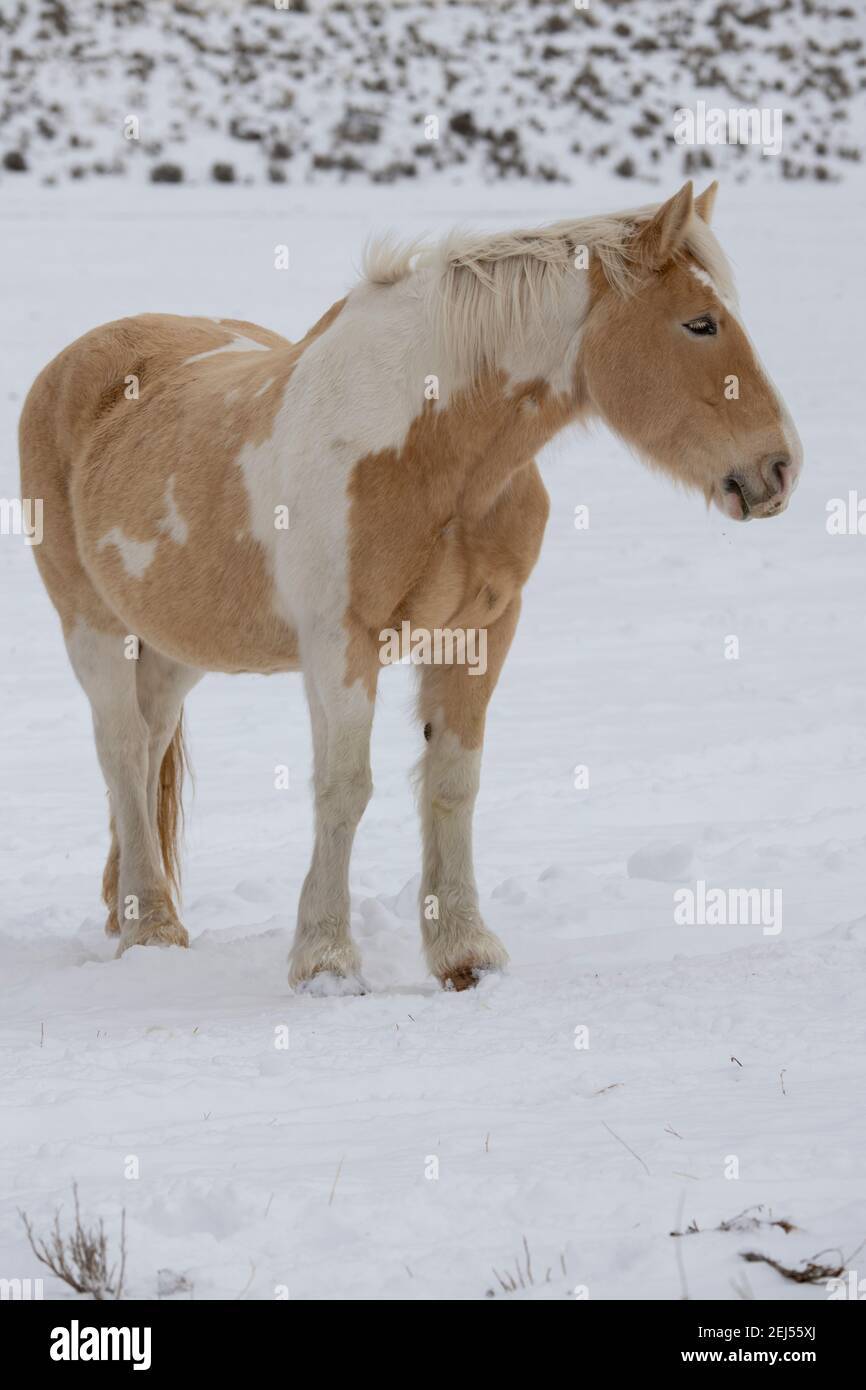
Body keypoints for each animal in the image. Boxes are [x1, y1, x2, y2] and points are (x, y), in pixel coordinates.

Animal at [19, 181, 802, 993]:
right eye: (700, 322)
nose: (779, 469)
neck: (430, 447)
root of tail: (74, 365)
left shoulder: (483, 630)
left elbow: (452, 781)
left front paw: (464, 951)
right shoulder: (341, 641)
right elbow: (344, 787)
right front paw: (326, 962)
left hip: (176, 648)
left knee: (147, 749)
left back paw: (129, 912)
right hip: (93, 627)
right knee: (122, 750)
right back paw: (153, 927)